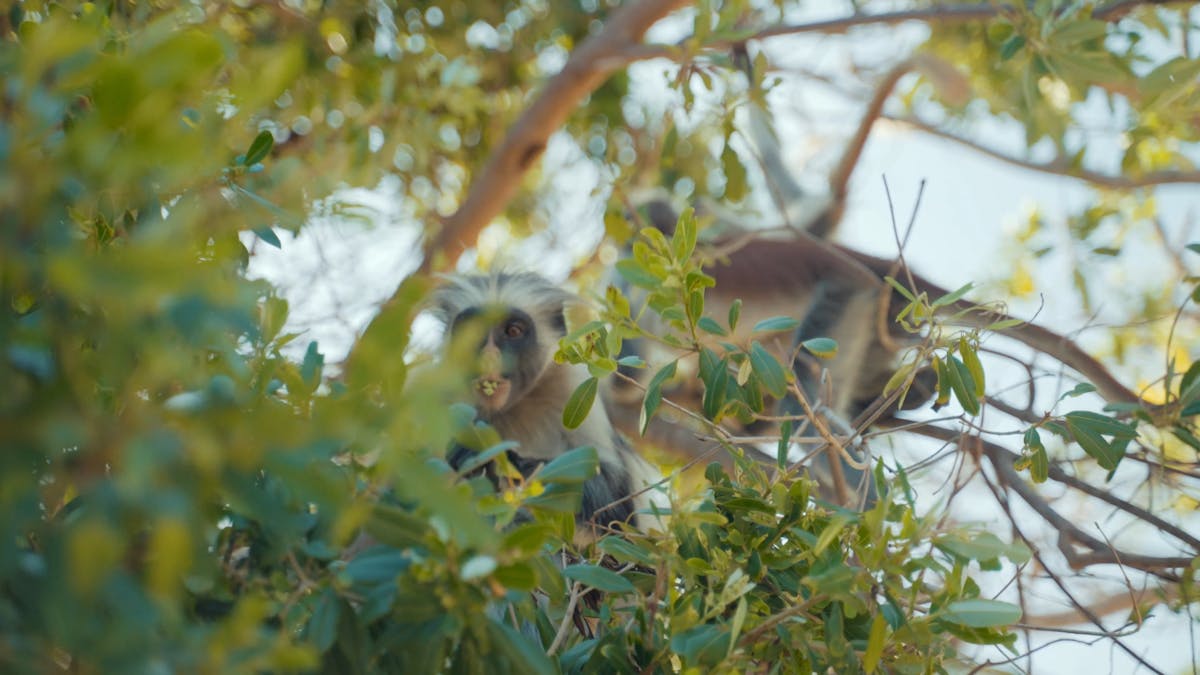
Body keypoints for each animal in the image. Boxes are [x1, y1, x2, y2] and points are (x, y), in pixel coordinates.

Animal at [429, 272, 664, 545]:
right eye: (472, 332)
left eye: (513, 331)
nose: (489, 358)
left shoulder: (570, 382)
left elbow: (617, 507)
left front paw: (505, 460)